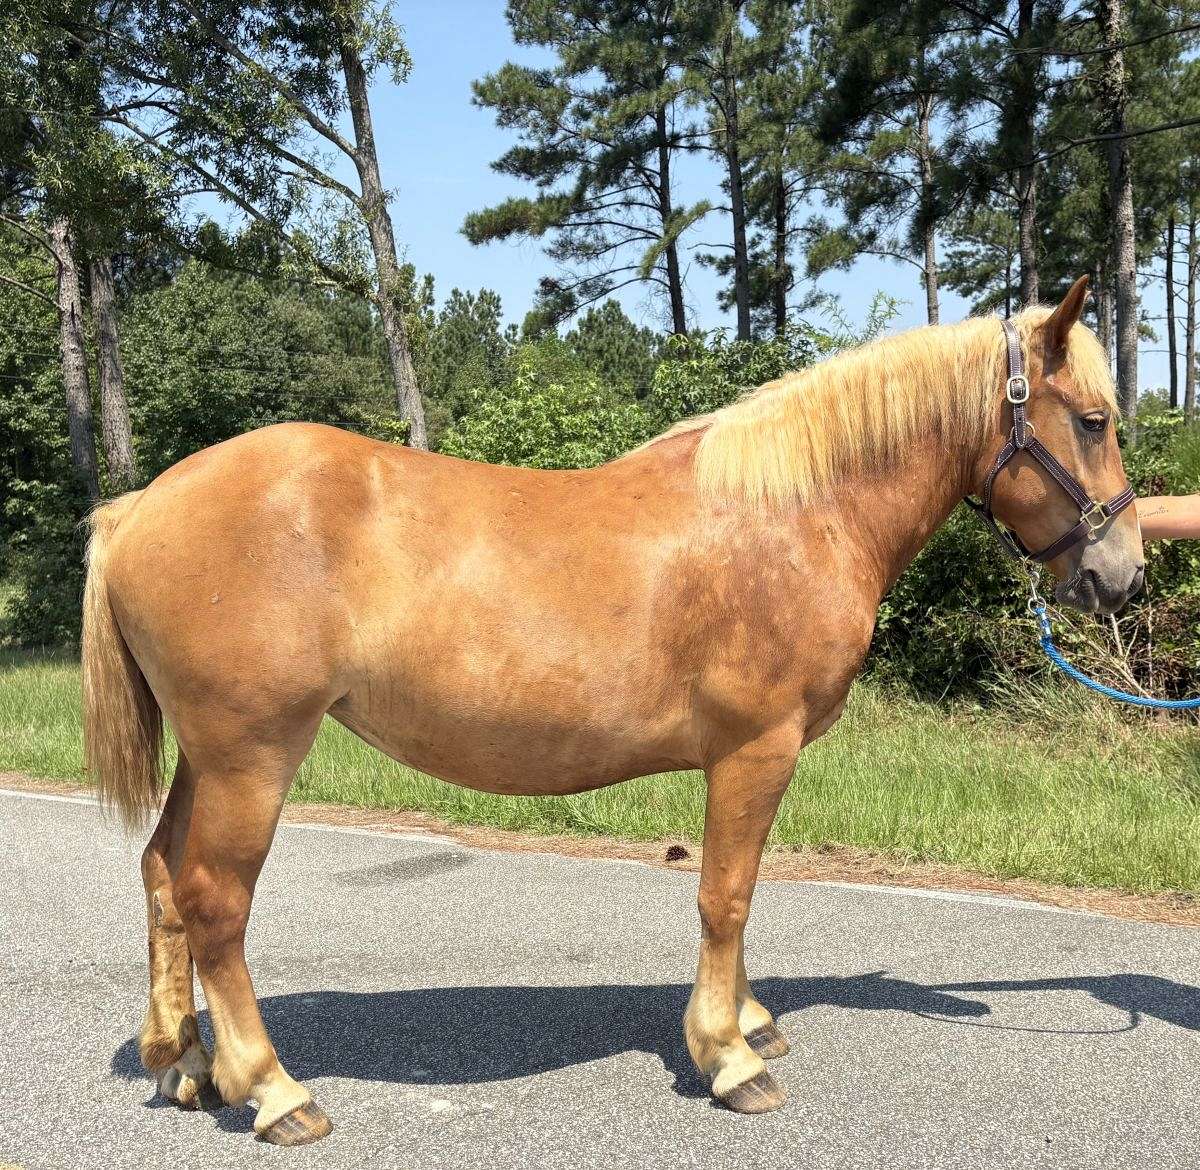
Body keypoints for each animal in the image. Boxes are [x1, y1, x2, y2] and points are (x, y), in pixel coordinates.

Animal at [81, 276, 1142, 1145]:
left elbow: (739, 893)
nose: (1122, 575)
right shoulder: (757, 749)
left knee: (162, 876)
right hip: (252, 754)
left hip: (205, 756)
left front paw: (752, 1022)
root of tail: (138, 508)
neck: (796, 514)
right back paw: (272, 1090)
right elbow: (726, 895)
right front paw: (729, 1057)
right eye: (1093, 420)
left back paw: (184, 1062)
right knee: (215, 900)